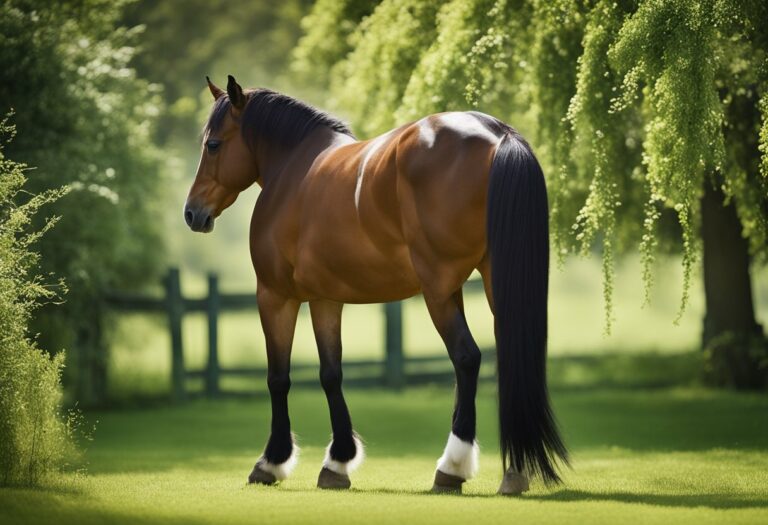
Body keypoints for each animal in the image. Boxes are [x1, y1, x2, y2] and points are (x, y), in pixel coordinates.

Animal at [184, 75, 568, 495]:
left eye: (213, 143)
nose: (192, 212)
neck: (292, 169)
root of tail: (499, 134)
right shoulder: (325, 298)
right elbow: (331, 374)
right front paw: (337, 462)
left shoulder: (275, 295)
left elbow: (278, 378)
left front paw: (272, 461)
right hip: (490, 283)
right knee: (510, 355)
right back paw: (514, 471)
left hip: (438, 290)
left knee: (467, 358)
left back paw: (451, 467)